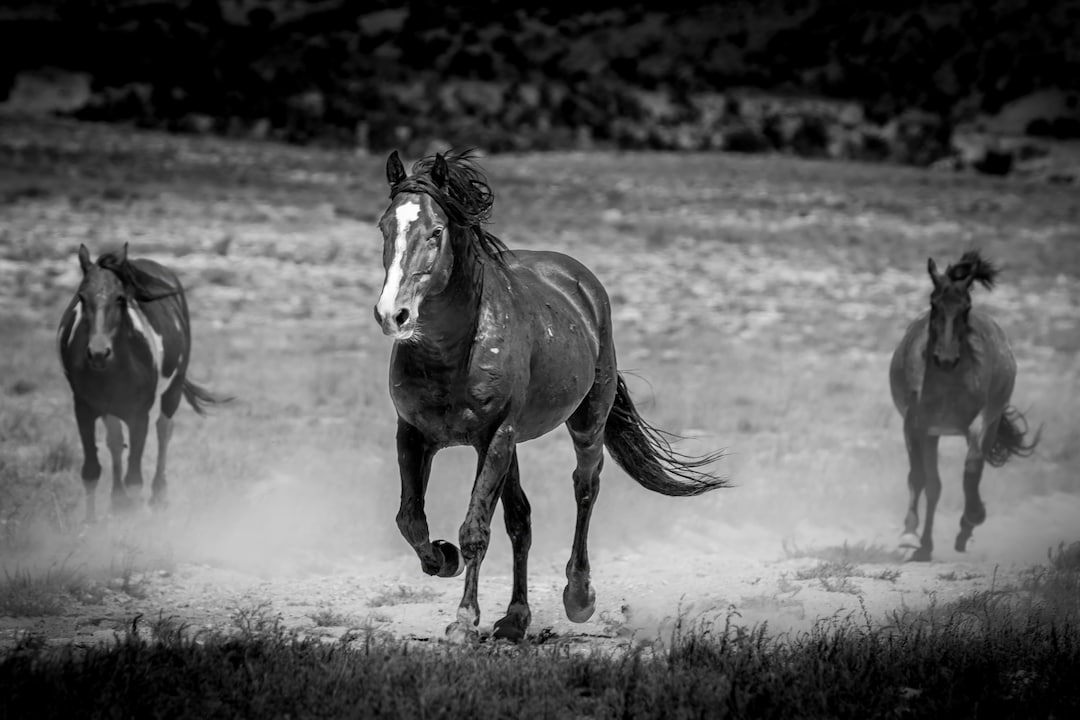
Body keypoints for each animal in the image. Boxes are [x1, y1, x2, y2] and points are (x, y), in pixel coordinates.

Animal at [57, 243, 229, 523]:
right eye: (81, 297)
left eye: (120, 297)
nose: (98, 353)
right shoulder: (84, 409)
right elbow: (92, 469)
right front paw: (92, 523)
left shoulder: (139, 414)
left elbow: (135, 477)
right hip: (109, 408)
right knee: (115, 441)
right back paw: (118, 500)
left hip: (173, 389)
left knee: (164, 429)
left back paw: (159, 496)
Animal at [373, 149, 728, 643]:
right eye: (384, 226)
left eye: (436, 231)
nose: (393, 314)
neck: (453, 351)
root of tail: (579, 281)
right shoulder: (413, 434)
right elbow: (412, 519)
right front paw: (442, 558)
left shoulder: (495, 437)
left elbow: (475, 530)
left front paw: (463, 621)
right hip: (510, 447)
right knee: (520, 520)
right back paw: (515, 619)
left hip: (585, 422)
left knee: (585, 487)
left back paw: (578, 597)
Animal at [889, 250, 1039, 562]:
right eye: (933, 303)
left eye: (967, 307)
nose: (946, 359)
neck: (946, 382)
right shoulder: (915, 424)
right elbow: (918, 477)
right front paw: (908, 536)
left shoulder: (979, 422)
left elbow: (971, 469)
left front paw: (973, 518)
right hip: (932, 434)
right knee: (934, 487)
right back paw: (925, 547)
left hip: (989, 423)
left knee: (971, 471)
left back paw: (964, 532)